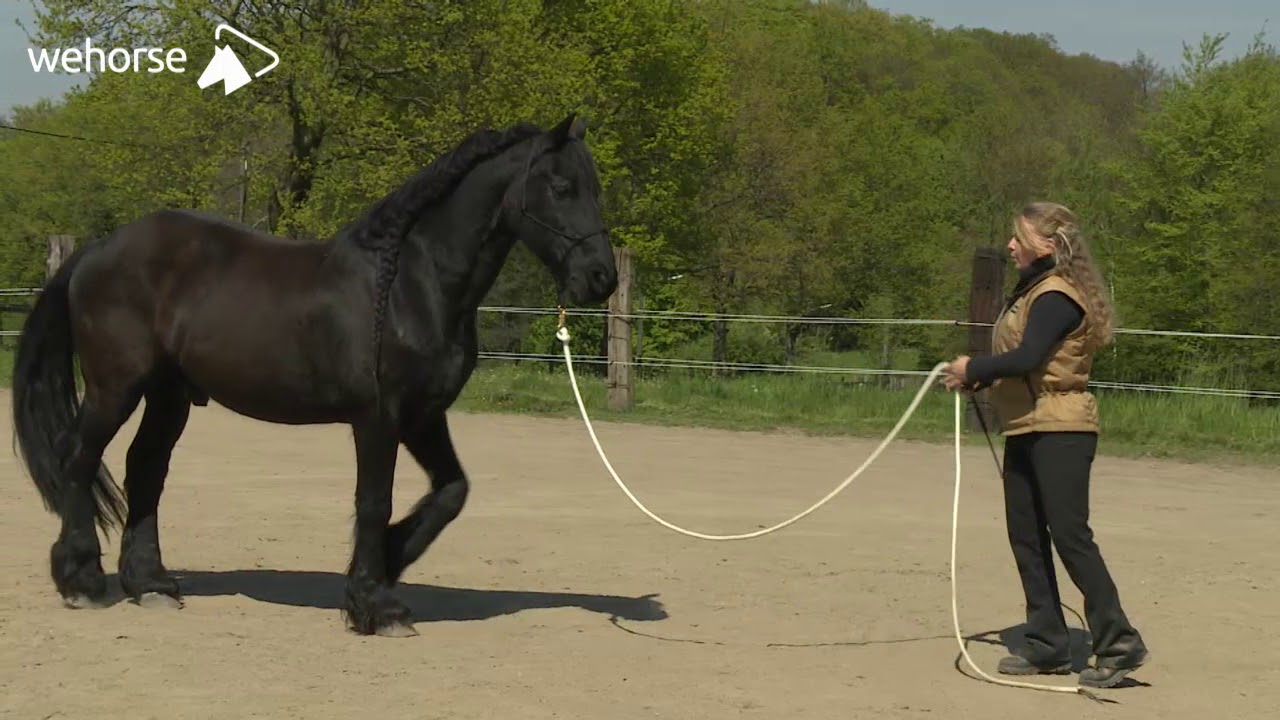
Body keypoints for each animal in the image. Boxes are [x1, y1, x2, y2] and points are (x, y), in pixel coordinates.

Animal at [10, 112, 619, 637]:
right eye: (561, 186)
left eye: (595, 188)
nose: (601, 278)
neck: (410, 283)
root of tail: (99, 249)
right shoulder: (379, 417)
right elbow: (375, 501)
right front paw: (376, 603)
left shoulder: (425, 416)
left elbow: (451, 492)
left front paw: (386, 562)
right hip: (116, 387)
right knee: (78, 458)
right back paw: (83, 580)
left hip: (168, 395)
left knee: (144, 470)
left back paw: (152, 584)